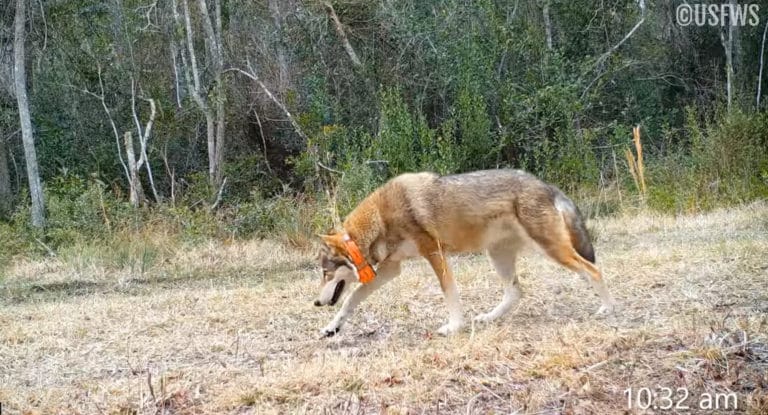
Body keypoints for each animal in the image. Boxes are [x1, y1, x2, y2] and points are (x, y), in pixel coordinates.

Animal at [315, 169, 616, 337]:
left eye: (325, 272)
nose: (316, 303)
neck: (380, 218)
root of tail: (547, 186)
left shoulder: (434, 253)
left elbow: (449, 293)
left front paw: (454, 327)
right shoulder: (391, 269)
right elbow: (352, 299)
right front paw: (332, 328)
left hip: (552, 250)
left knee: (593, 270)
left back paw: (607, 308)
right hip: (499, 256)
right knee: (515, 292)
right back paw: (487, 318)